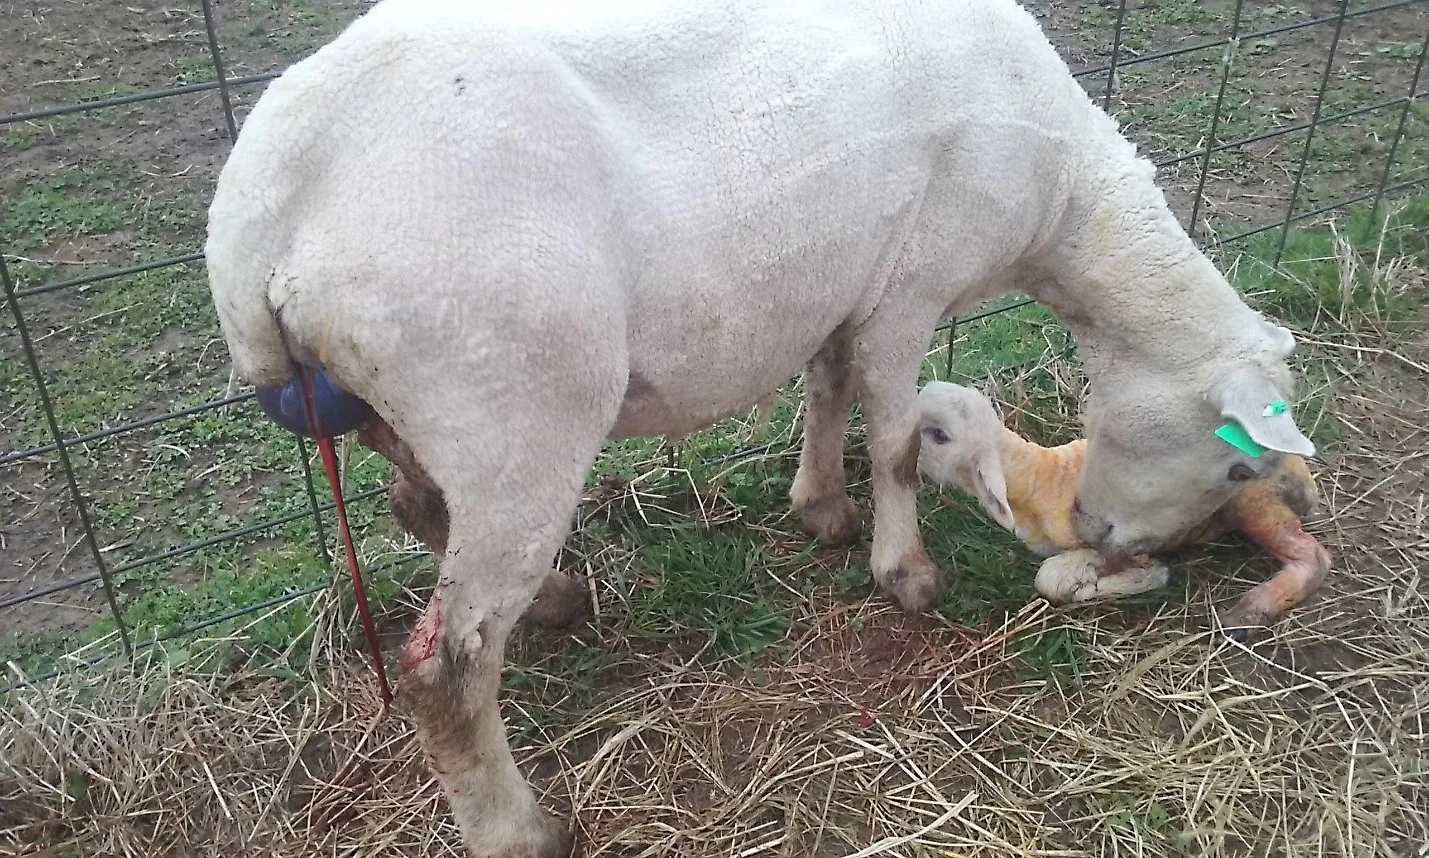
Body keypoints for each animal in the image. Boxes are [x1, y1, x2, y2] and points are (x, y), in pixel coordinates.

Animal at [917, 381, 1331, 636]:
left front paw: (1126, 580)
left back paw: (1250, 612)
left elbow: (1050, 578)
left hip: (1256, 503)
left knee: (1315, 558)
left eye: (939, 435)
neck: (1040, 477)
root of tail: (1298, 469)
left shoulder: (1124, 540)